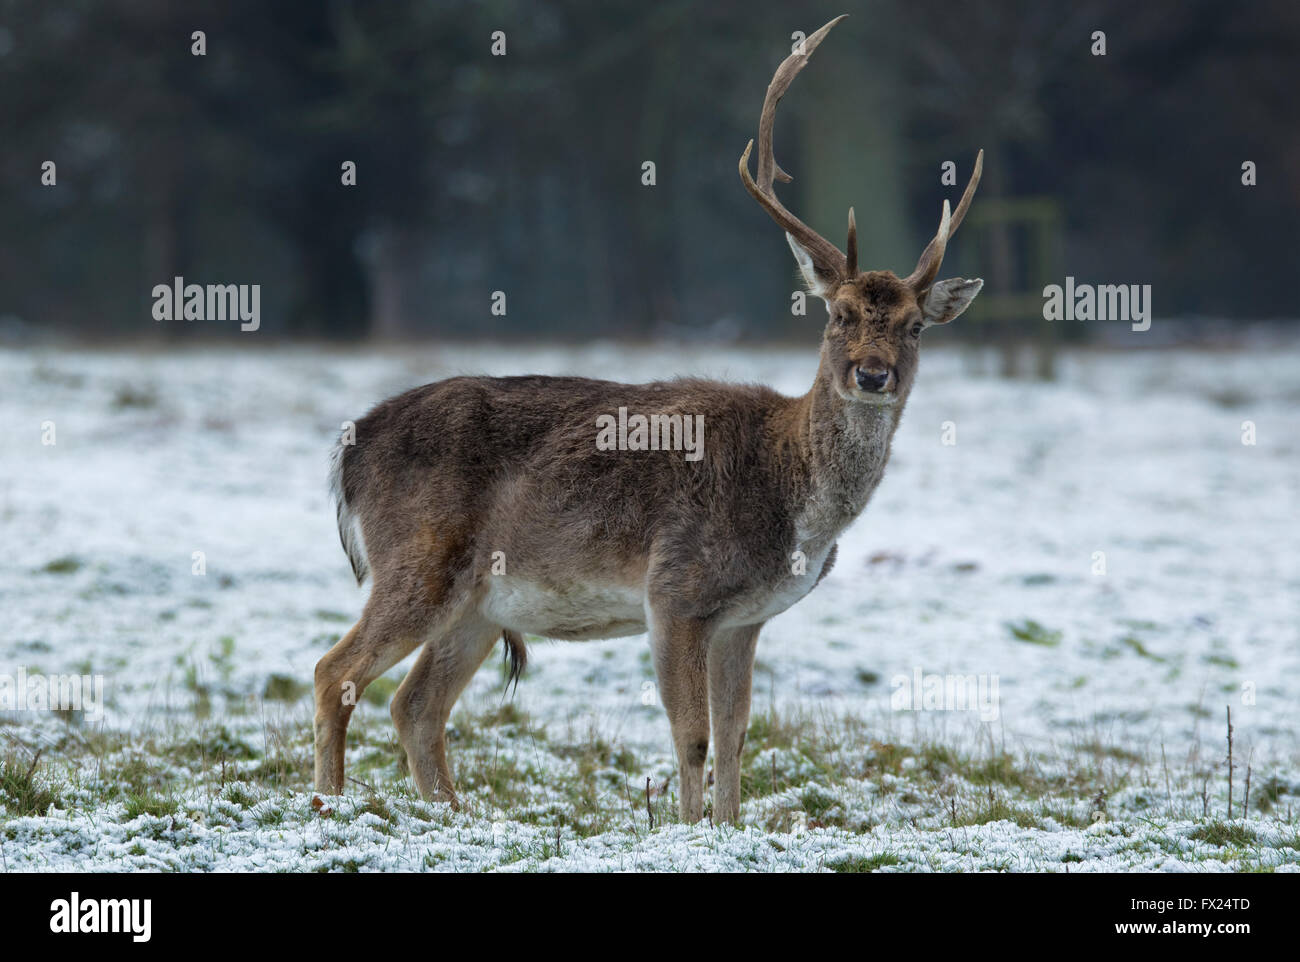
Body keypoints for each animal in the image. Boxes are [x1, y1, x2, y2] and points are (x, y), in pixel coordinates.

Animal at [313, 14, 983, 824]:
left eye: (916, 326)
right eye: (840, 315)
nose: (873, 374)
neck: (793, 495)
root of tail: (348, 451)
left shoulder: (744, 618)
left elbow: (737, 736)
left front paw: (729, 827)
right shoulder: (675, 592)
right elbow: (691, 735)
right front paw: (690, 830)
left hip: (477, 602)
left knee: (414, 705)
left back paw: (458, 816)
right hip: (415, 557)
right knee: (333, 672)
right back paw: (329, 809)